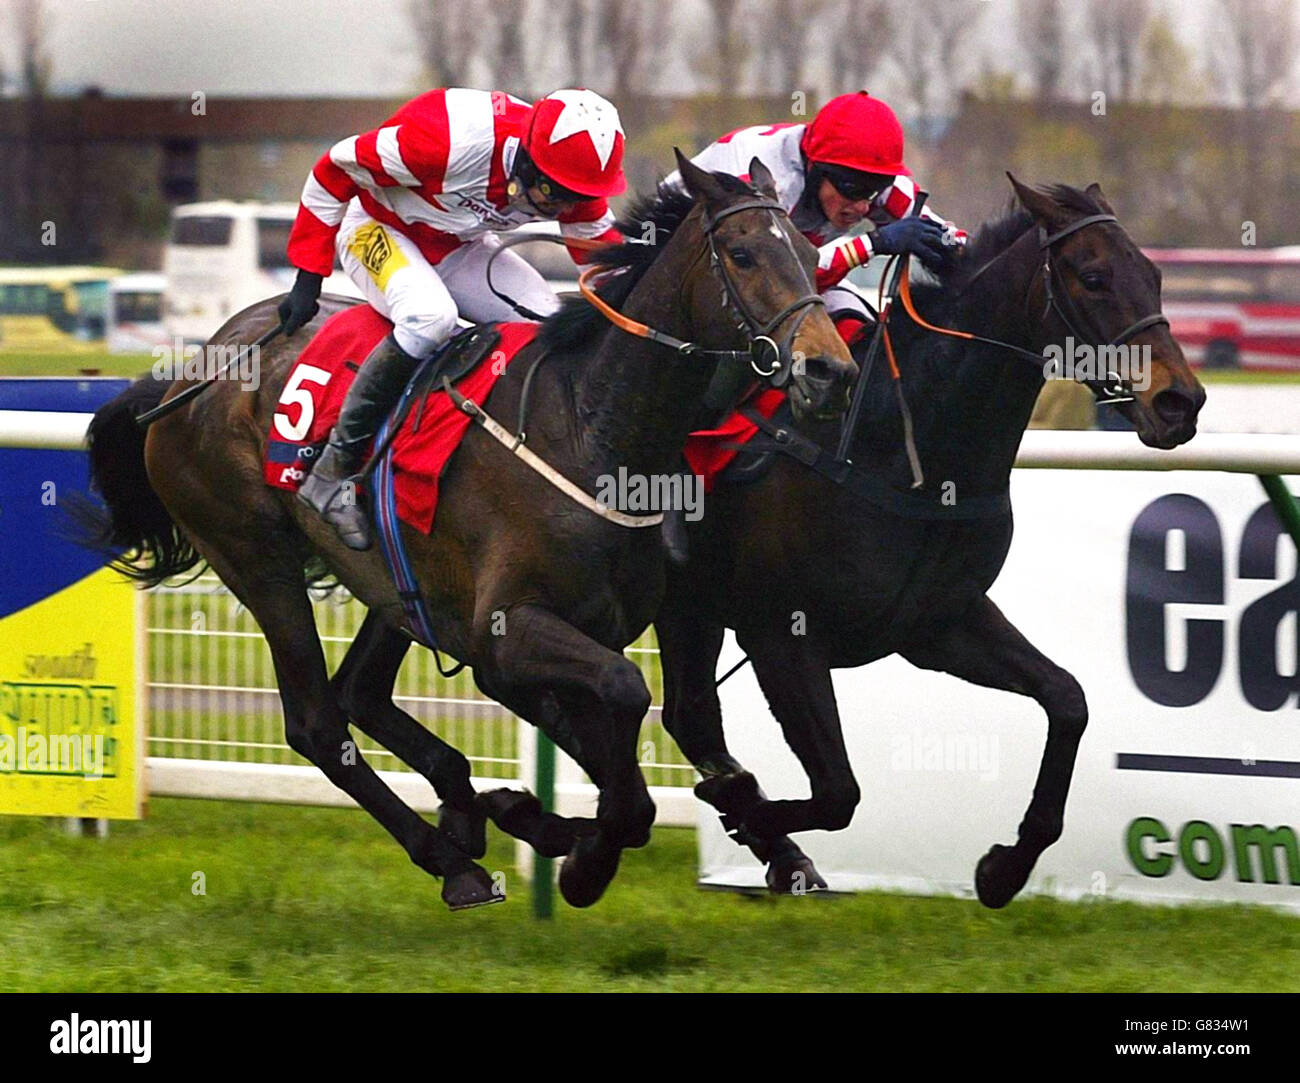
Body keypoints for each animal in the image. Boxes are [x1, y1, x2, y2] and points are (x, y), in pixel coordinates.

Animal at [79, 153, 857, 911]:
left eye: (810, 250)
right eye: (742, 253)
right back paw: (450, 858)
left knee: (361, 692)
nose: (830, 370)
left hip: (396, 585)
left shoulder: (550, 633)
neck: (589, 430)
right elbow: (626, 699)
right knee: (318, 725)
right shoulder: (506, 630)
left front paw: (539, 818)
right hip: (254, 558)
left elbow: (615, 744)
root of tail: (190, 371)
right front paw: (579, 855)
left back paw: (464, 809)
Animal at [654, 175, 1206, 906]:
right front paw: (742, 809)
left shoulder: (937, 623)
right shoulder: (780, 631)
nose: (1181, 402)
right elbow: (839, 791)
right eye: (1093, 277)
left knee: (689, 712)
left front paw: (1005, 866)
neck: (900, 442)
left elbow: (1069, 701)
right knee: (688, 711)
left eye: (1154, 274)